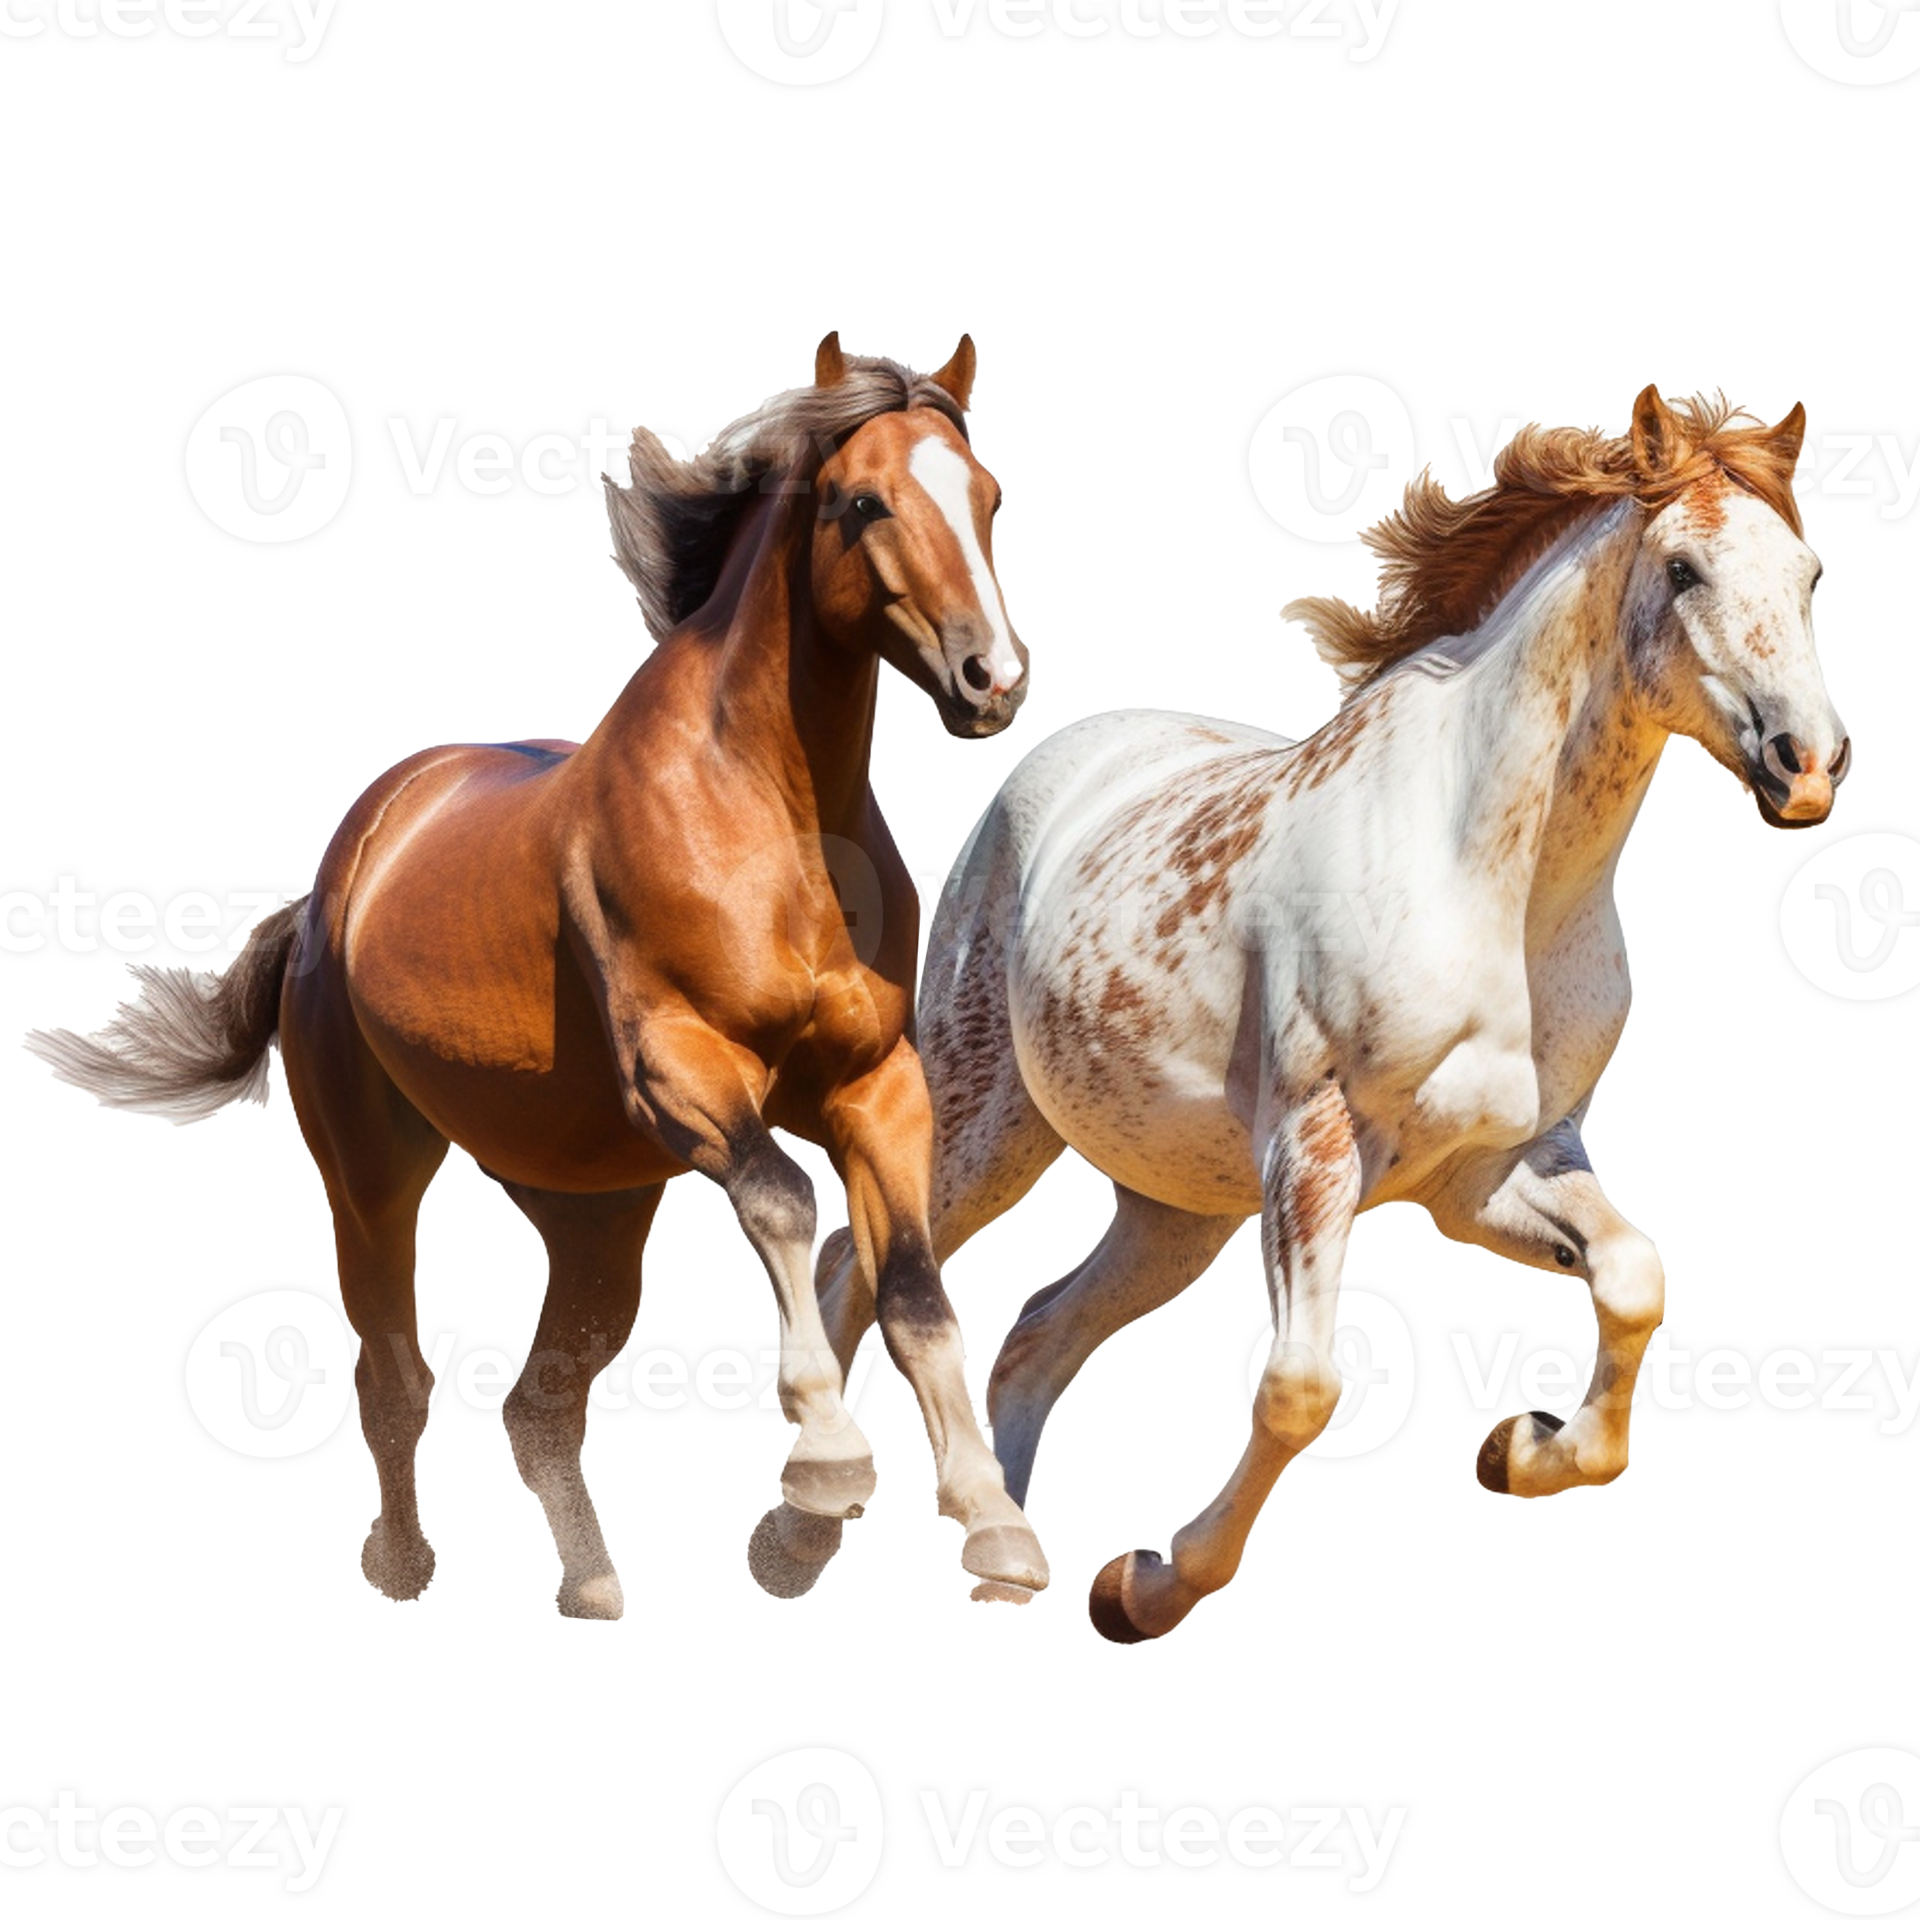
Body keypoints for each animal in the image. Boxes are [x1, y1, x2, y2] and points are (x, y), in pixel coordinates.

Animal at [23, 331, 1052, 1621]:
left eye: (991, 498)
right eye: (863, 501)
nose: (993, 677)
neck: (763, 815)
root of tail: (331, 892)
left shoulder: (875, 1087)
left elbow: (916, 1292)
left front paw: (993, 1530)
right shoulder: (686, 1070)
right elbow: (781, 1199)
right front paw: (826, 1468)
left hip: (592, 1209)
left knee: (540, 1406)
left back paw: (593, 1586)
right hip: (373, 1174)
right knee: (396, 1378)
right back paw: (404, 1567)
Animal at [813, 385, 1851, 1644]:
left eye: (1808, 573)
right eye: (1686, 569)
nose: (1808, 764)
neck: (1488, 881)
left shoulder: (1494, 1170)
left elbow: (1633, 1279)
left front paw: (1522, 1451)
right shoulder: (1315, 1152)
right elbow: (1300, 1388)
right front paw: (1156, 1585)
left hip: (1176, 1210)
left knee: (1035, 1337)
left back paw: (1009, 1557)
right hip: (983, 1135)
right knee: (850, 1269)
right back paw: (812, 1528)